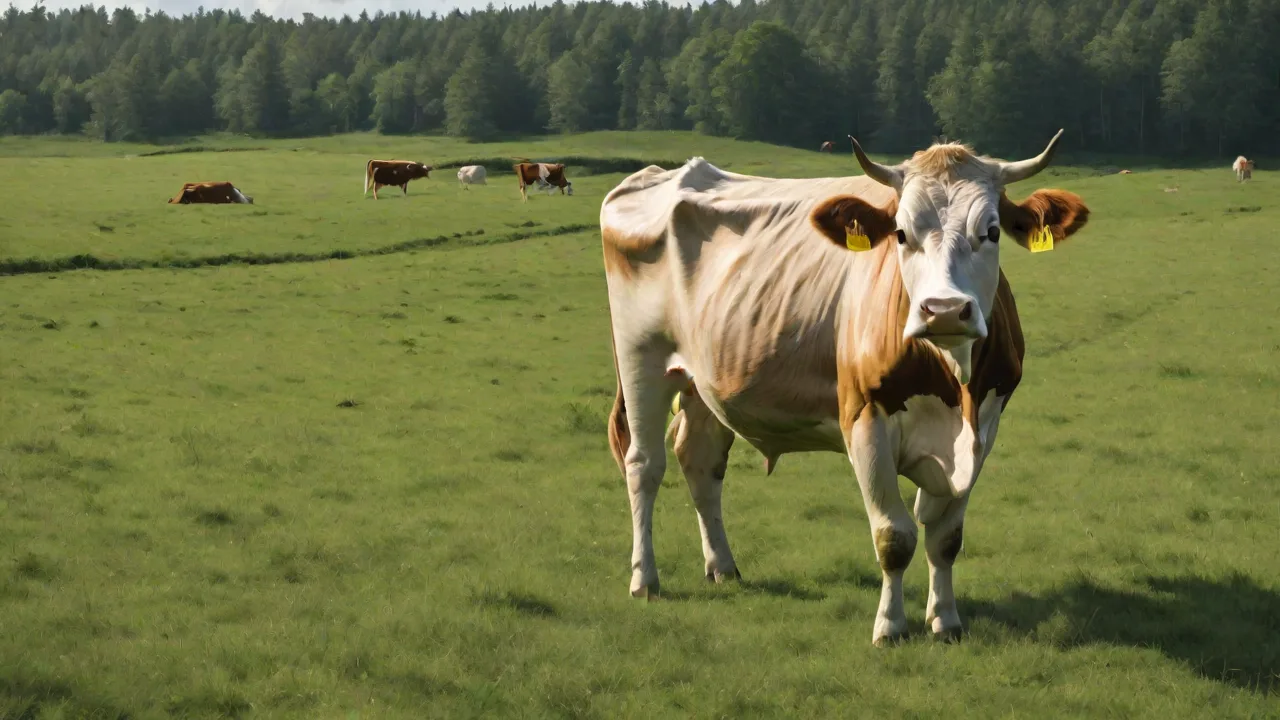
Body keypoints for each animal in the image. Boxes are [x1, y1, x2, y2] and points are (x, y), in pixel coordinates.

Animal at [600, 131, 1091, 646]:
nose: (943, 310)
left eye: (992, 232)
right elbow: (894, 536)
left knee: (700, 459)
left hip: (706, 375)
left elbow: (945, 538)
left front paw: (945, 621)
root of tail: (659, 174)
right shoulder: (864, 419)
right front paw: (890, 627)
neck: (954, 392)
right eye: (900, 234)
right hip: (641, 358)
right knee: (644, 465)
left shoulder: (984, 429)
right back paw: (645, 579)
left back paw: (722, 567)